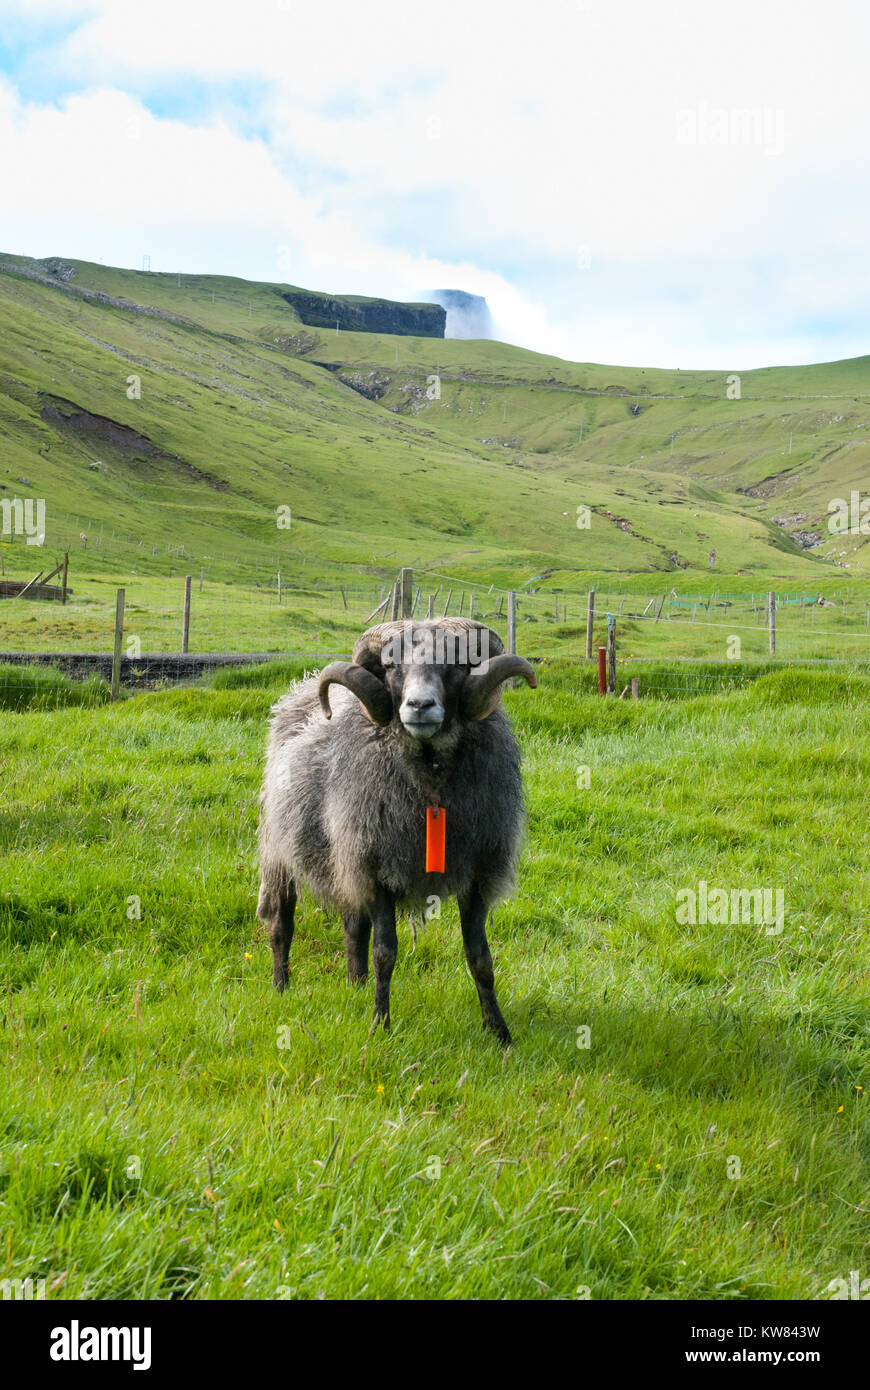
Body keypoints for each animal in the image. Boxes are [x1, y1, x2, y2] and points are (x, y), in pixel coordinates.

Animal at [257, 617, 537, 1043]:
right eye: (391, 666)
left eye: (457, 665)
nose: (419, 706)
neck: (430, 779)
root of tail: (296, 692)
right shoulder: (375, 871)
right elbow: (385, 953)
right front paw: (380, 1025)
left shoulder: (479, 875)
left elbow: (480, 957)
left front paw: (499, 1032)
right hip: (282, 852)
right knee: (281, 924)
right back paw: (281, 987)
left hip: (344, 860)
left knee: (353, 928)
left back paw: (355, 986)